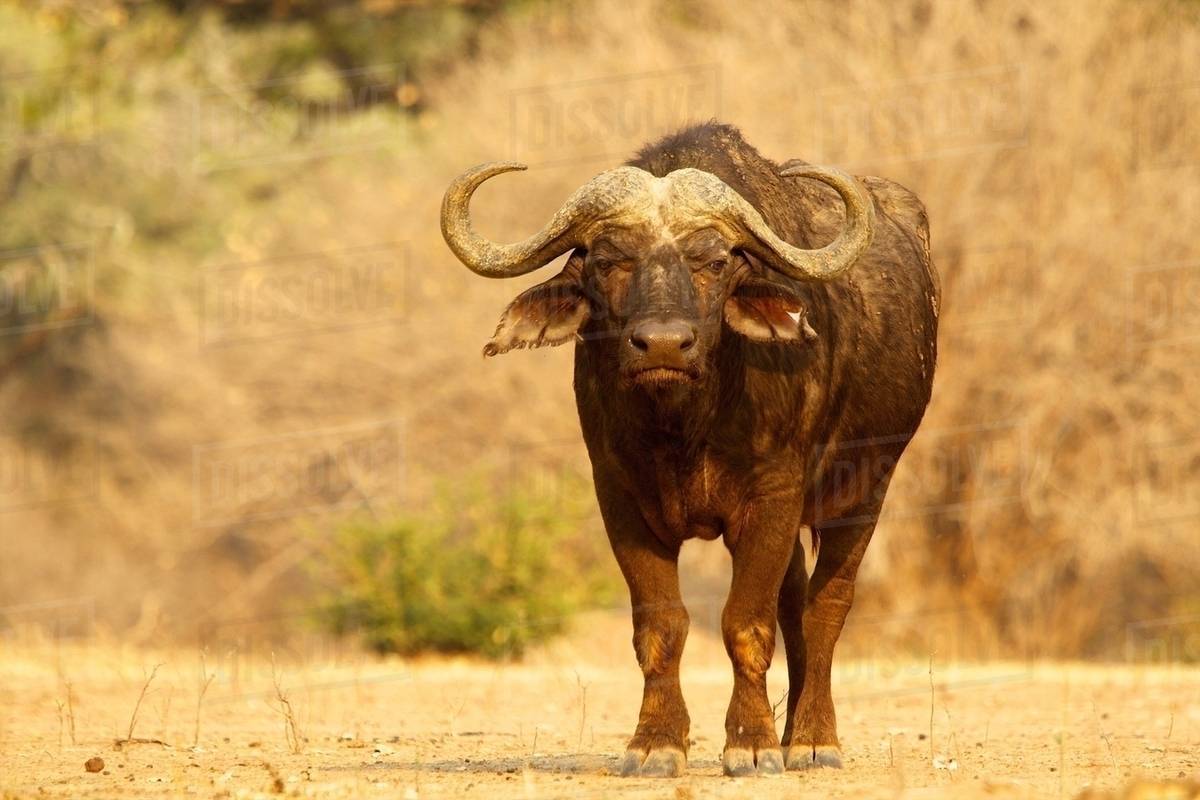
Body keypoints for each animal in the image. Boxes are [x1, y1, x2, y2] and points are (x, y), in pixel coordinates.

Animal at [441, 122, 939, 777]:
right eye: (608, 260)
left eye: (714, 260)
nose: (662, 345)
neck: (683, 426)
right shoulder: (620, 499)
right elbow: (662, 626)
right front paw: (655, 743)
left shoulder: (773, 496)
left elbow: (745, 623)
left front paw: (750, 745)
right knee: (794, 604)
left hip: (865, 491)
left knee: (826, 606)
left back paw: (812, 740)